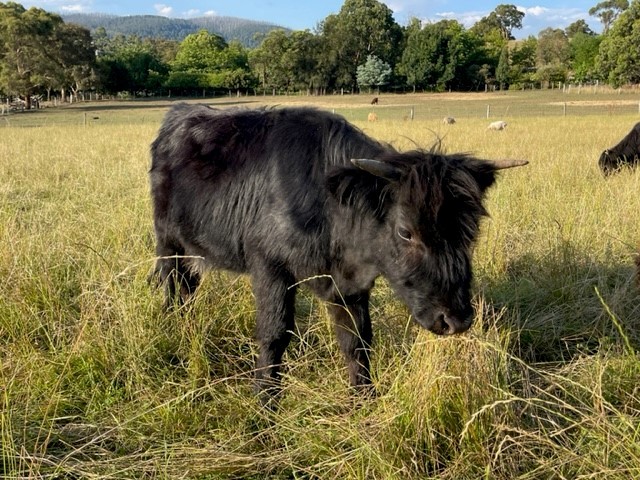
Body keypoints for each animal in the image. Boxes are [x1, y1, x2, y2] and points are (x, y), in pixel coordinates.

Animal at [149, 104, 527, 404]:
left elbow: (357, 340)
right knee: (173, 286)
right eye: (406, 231)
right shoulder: (270, 267)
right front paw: (265, 401)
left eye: (471, 228)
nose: (456, 319)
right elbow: (274, 333)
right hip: (168, 243)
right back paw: (174, 326)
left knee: (188, 286)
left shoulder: (347, 286)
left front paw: (364, 397)